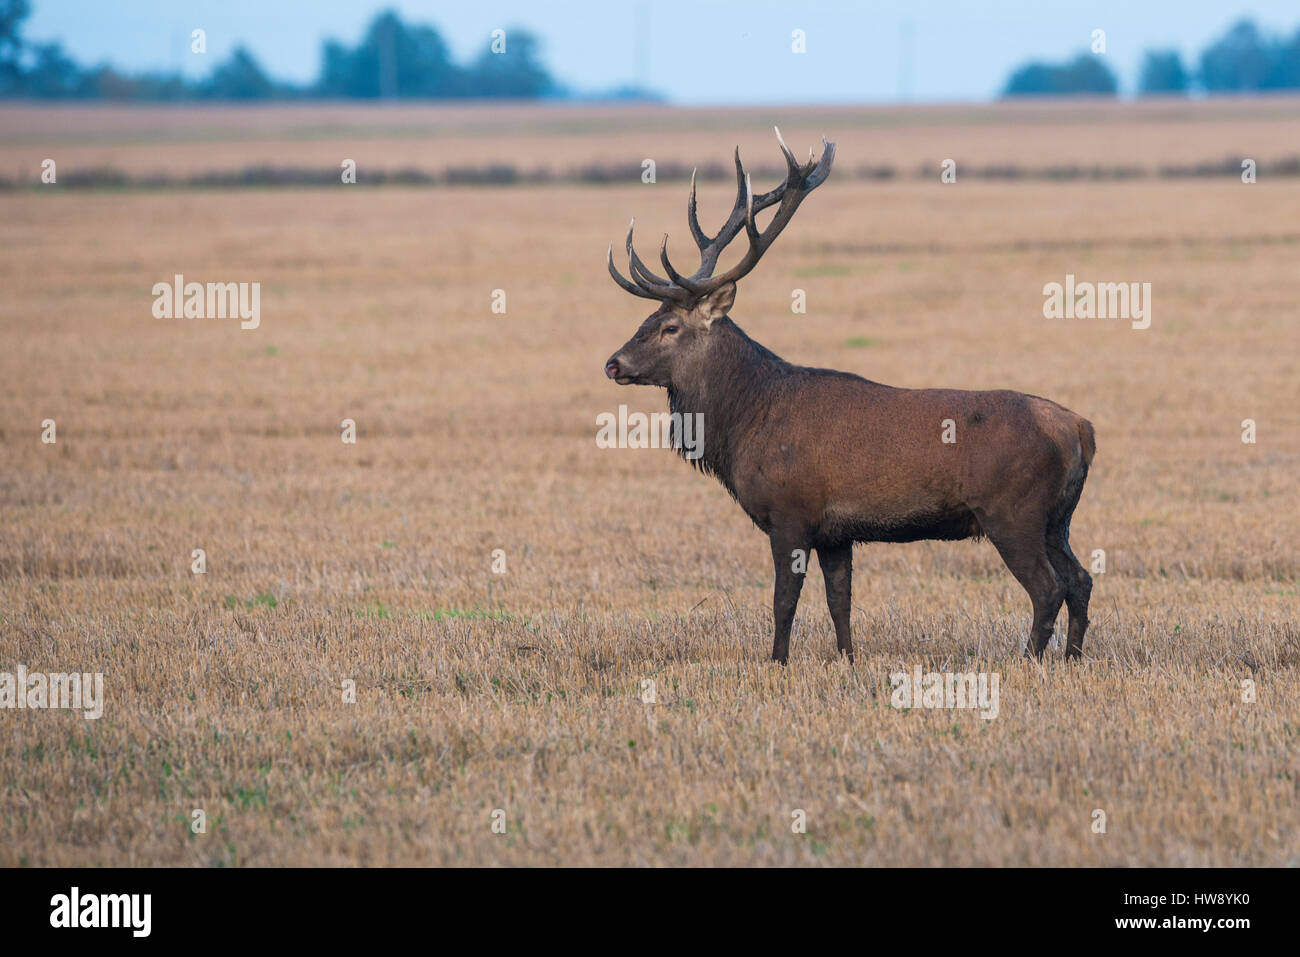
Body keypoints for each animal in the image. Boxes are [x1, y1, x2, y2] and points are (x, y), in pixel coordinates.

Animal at [603, 129, 1096, 665]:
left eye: (670, 327)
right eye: (646, 320)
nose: (614, 363)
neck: (746, 421)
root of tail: (1080, 429)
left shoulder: (791, 512)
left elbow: (783, 600)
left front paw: (776, 662)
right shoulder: (836, 531)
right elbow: (839, 600)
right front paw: (847, 658)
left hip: (1013, 511)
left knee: (1048, 587)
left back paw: (1030, 661)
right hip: (1058, 517)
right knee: (1081, 579)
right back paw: (1071, 659)